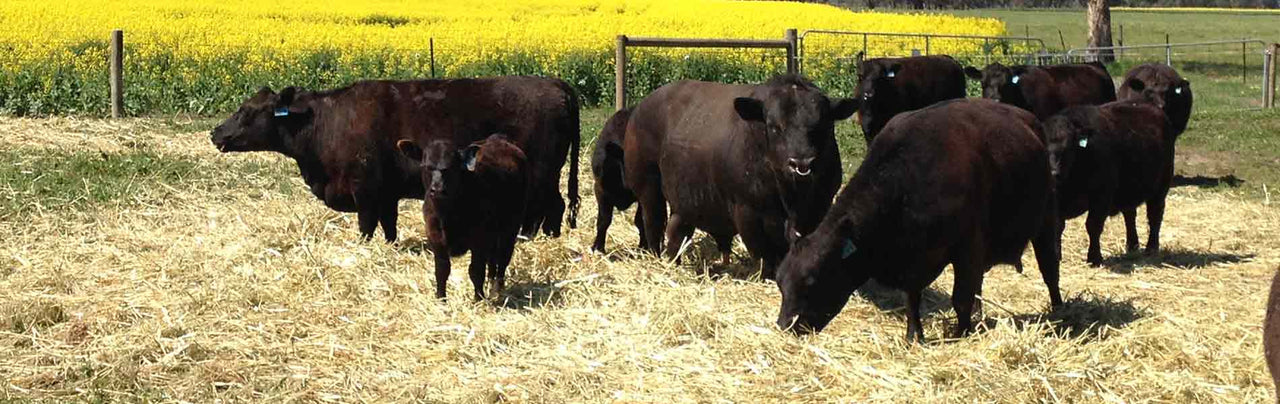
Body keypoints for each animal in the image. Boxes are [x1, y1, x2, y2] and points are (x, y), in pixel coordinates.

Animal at [209, 76, 579, 243]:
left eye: (247, 111)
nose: (215, 133)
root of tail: (554, 83)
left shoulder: (365, 189)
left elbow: (366, 226)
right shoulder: (385, 193)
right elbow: (388, 226)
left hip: (542, 174)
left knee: (545, 208)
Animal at [396, 134, 527, 301]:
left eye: (452, 167)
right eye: (426, 166)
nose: (438, 189)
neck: (447, 215)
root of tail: (498, 139)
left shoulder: (479, 239)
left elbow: (476, 270)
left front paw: (478, 299)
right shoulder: (435, 239)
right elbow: (442, 271)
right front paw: (441, 298)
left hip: (510, 227)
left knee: (503, 258)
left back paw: (497, 289)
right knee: (492, 259)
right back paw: (491, 282)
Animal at [623, 75, 857, 279]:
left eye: (821, 125)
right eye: (774, 127)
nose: (802, 163)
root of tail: (643, 105)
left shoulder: (819, 206)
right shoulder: (748, 211)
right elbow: (764, 253)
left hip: (684, 201)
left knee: (677, 231)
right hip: (648, 186)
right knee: (653, 222)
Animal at [774, 98, 1062, 342]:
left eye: (812, 280)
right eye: (780, 282)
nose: (785, 325)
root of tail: (1028, 119)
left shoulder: (968, 247)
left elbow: (961, 297)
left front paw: (961, 333)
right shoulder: (911, 260)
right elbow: (912, 298)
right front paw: (914, 335)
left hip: (1046, 222)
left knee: (1050, 269)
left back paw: (1058, 310)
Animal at [1043, 99, 1174, 266]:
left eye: (1068, 148)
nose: (1054, 174)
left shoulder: (1101, 195)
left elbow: (1093, 225)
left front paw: (1094, 258)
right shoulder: (1057, 202)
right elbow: (1058, 227)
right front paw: (1057, 256)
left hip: (1160, 188)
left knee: (1155, 215)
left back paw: (1151, 248)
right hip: (1128, 191)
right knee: (1130, 215)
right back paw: (1132, 245)